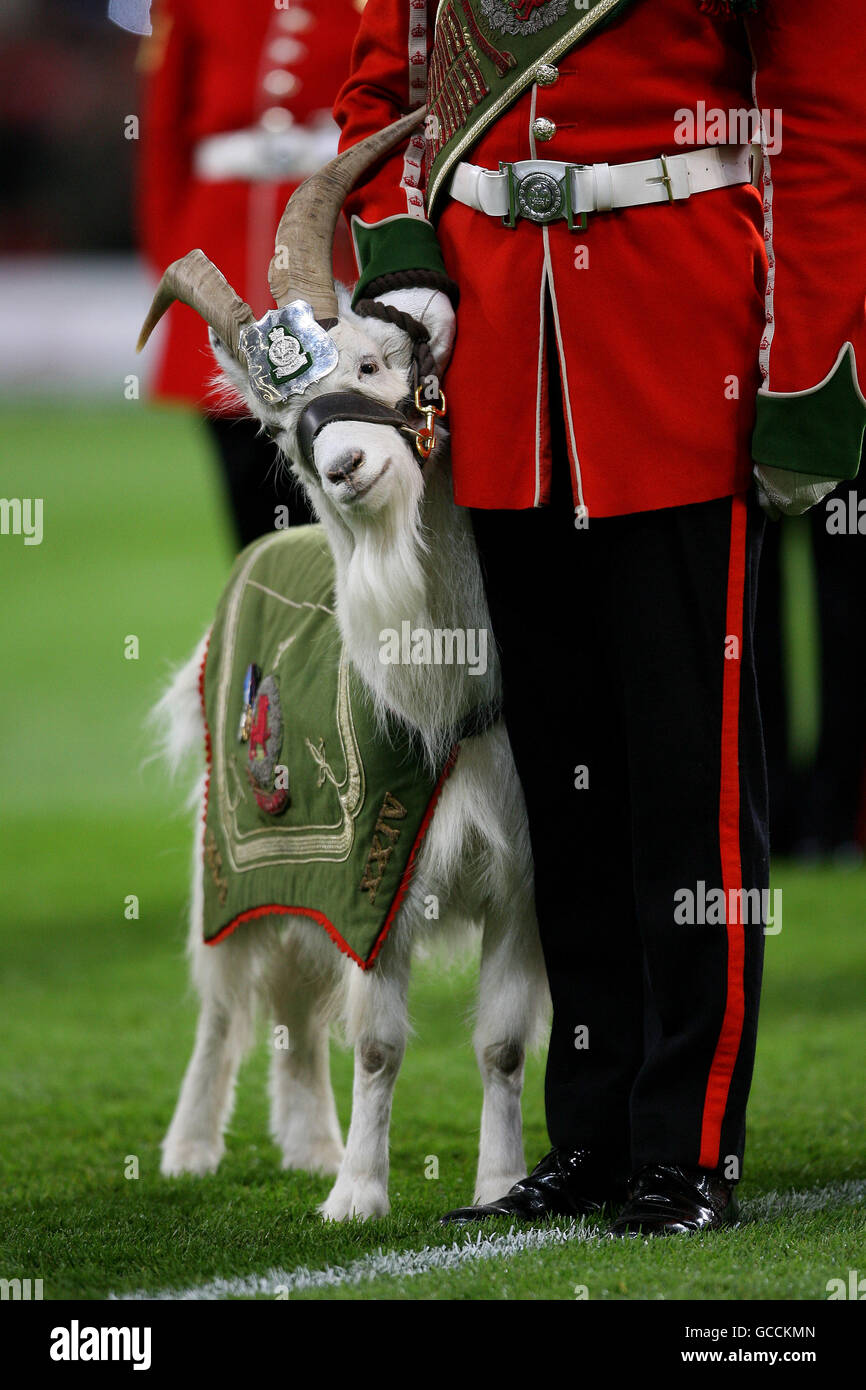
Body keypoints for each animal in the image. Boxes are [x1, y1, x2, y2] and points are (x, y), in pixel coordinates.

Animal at [140, 112, 549, 1221]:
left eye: (371, 363)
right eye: (283, 424)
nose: (345, 466)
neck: (447, 693)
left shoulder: (518, 874)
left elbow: (500, 1044)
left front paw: (501, 1186)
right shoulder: (376, 877)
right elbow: (377, 1042)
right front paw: (360, 1197)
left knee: (293, 1002)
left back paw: (307, 1139)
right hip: (227, 850)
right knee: (227, 999)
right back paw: (192, 1148)